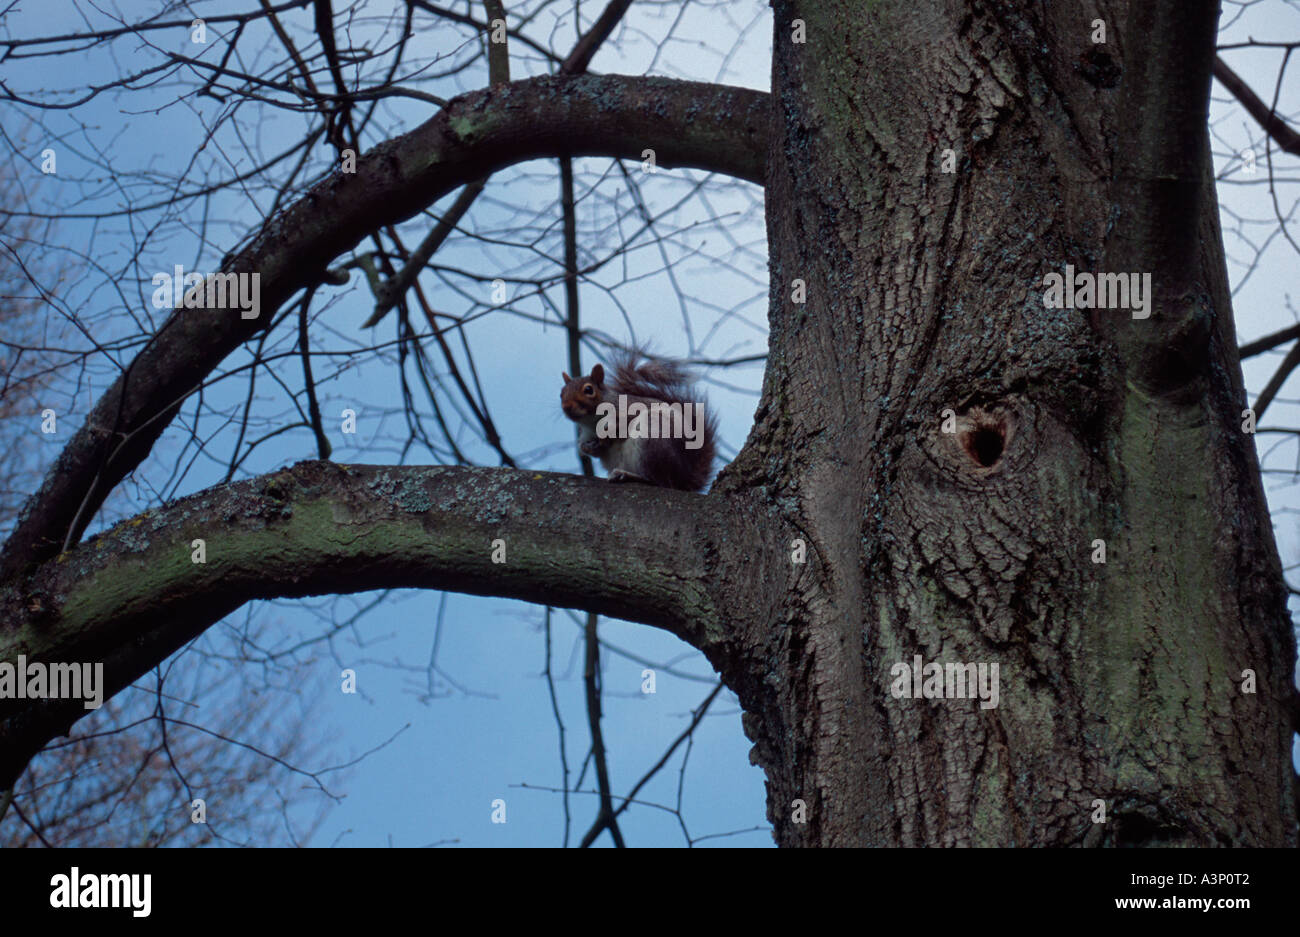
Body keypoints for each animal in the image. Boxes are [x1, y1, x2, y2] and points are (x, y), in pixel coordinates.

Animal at [560, 351, 718, 492]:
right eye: (561, 393)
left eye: (589, 390)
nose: (566, 406)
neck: (591, 421)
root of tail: (684, 478)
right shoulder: (586, 433)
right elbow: (590, 449)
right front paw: (588, 448)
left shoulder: (631, 406)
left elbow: (625, 421)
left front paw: (609, 429)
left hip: (653, 439)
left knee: (659, 481)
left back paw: (627, 475)